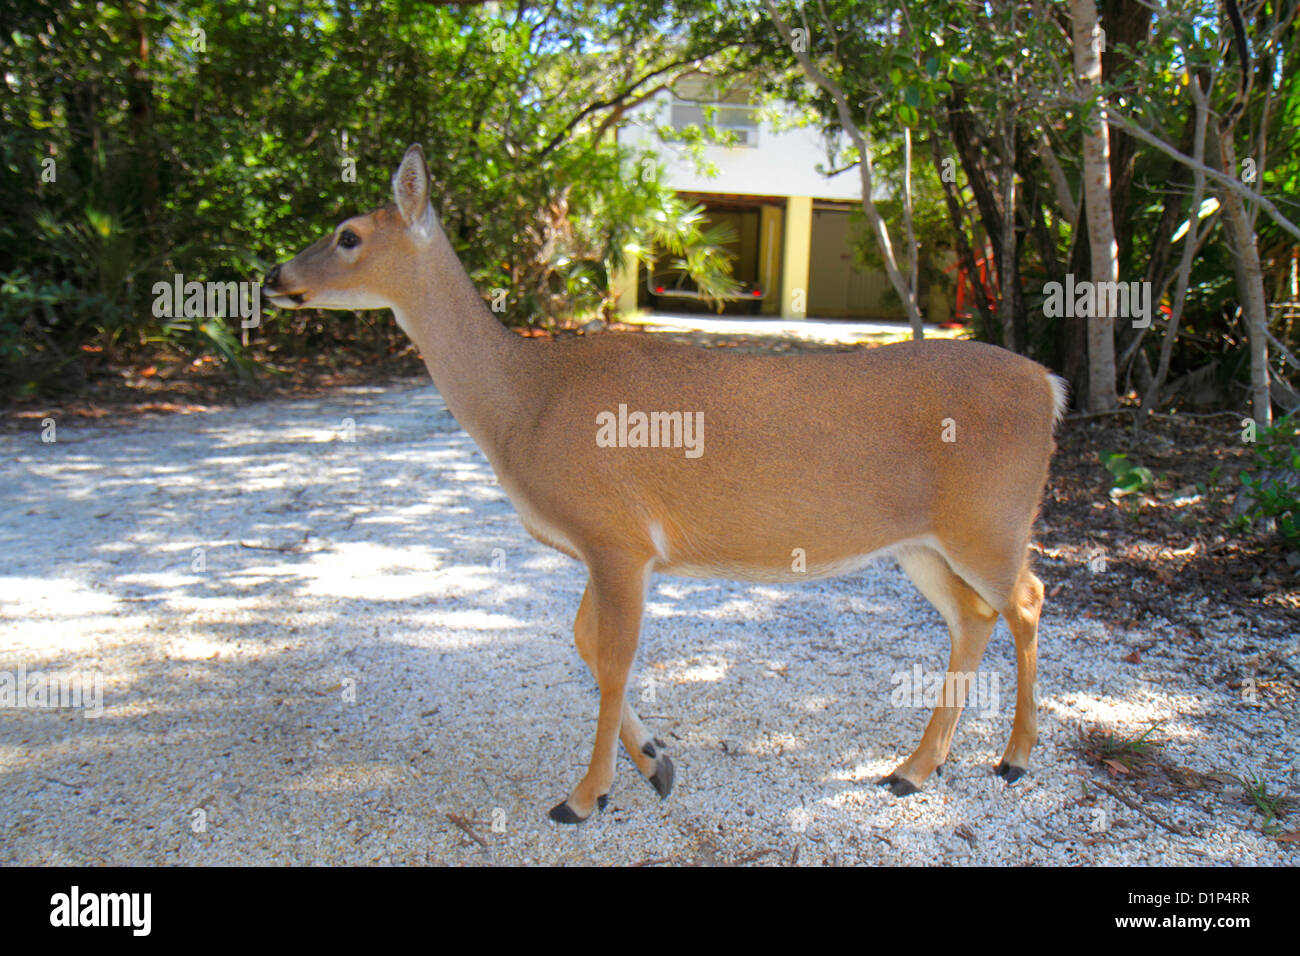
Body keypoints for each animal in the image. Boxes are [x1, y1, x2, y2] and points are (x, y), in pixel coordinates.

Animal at [265, 144, 1067, 824]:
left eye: (347, 235)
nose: (273, 279)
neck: (526, 402)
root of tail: (1052, 387)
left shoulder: (616, 535)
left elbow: (614, 657)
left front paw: (584, 797)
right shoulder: (605, 546)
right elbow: (587, 642)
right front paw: (656, 763)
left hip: (990, 518)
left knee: (1027, 597)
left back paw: (1014, 759)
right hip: (919, 543)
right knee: (974, 617)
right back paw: (914, 769)